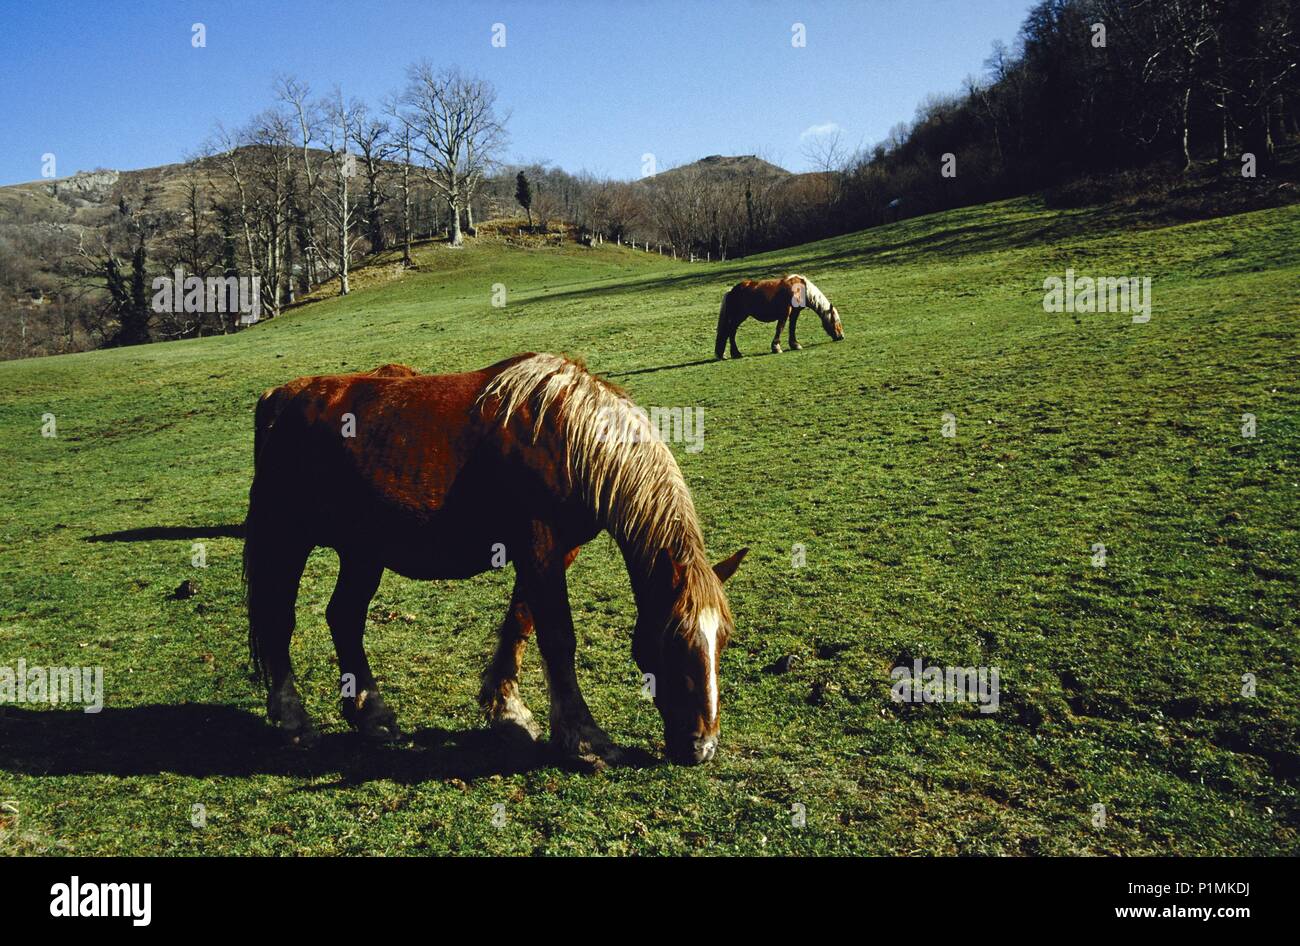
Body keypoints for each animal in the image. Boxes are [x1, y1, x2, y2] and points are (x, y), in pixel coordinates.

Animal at [244, 352, 748, 766]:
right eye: (674, 641)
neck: (568, 435)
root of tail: (280, 398)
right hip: (287, 541)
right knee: (279, 623)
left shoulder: (554, 550)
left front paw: (508, 710)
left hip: (362, 551)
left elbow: (522, 622)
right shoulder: (539, 545)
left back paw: (372, 717)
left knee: (344, 617)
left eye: (723, 641)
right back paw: (294, 721)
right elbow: (558, 637)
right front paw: (584, 738)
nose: (702, 748)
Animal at [715, 273, 844, 359]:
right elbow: (780, 328)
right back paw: (736, 353)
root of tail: (731, 291)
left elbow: (792, 328)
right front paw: (776, 347)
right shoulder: (785, 312)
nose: (841, 336)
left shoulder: (794, 313)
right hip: (739, 317)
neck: (800, 289)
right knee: (731, 332)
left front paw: (795, 345)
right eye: (835, 321)